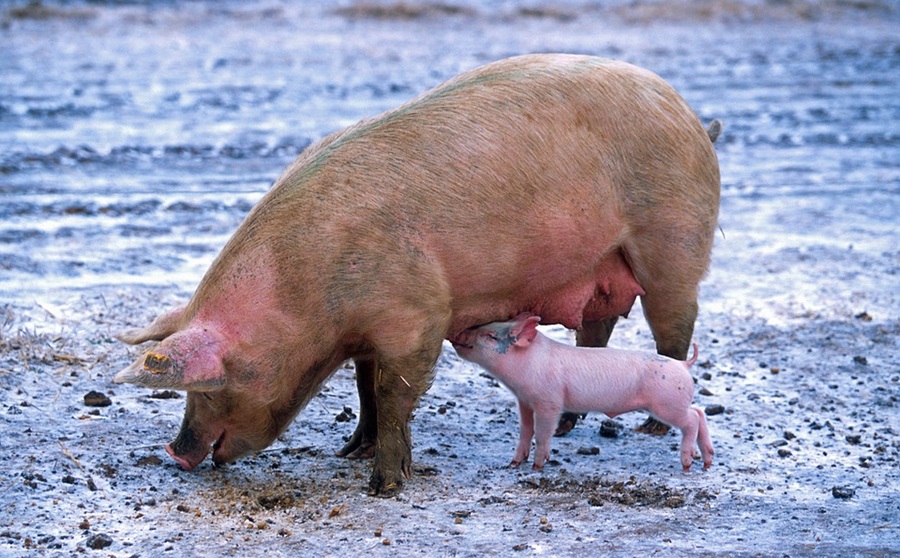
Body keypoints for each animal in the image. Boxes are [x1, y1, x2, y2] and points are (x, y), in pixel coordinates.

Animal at [452, 314, 714, 471]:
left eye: (490, 336)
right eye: (485, 326)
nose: (458, 334)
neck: (528, 363)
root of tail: (684, 365)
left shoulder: (549, 401)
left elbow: (543, 433)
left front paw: (537, 467)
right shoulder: (524, 401)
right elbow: (525, 430)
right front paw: (514, 463)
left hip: (667, 404)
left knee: (692, 419)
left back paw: (688, 463)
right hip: (675, 402)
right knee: (699, 412)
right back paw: (706, 461)